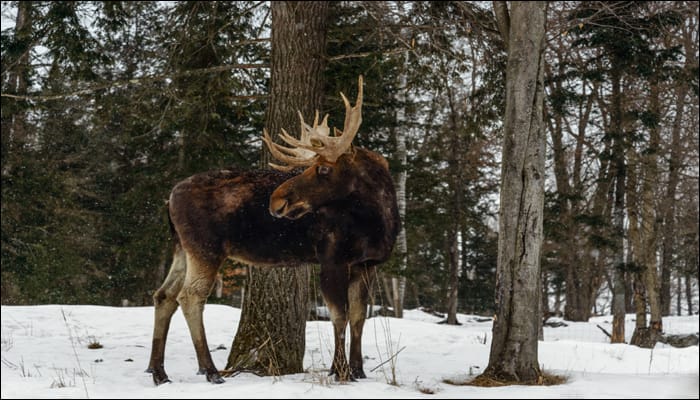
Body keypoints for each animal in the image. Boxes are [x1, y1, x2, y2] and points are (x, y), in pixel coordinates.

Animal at [146, 76, 400, 385]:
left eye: (323, 168)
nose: (277, 200)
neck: (378, 221)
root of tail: (168, 199)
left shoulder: (367, 264)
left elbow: (358, 317)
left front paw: (358, 370)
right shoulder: (332, 259)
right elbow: (339, 316)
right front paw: (339, 370)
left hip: (182, 248)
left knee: (164, 295)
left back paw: (158, 371)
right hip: (205, 249)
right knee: (190, 296)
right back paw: (210, 370)